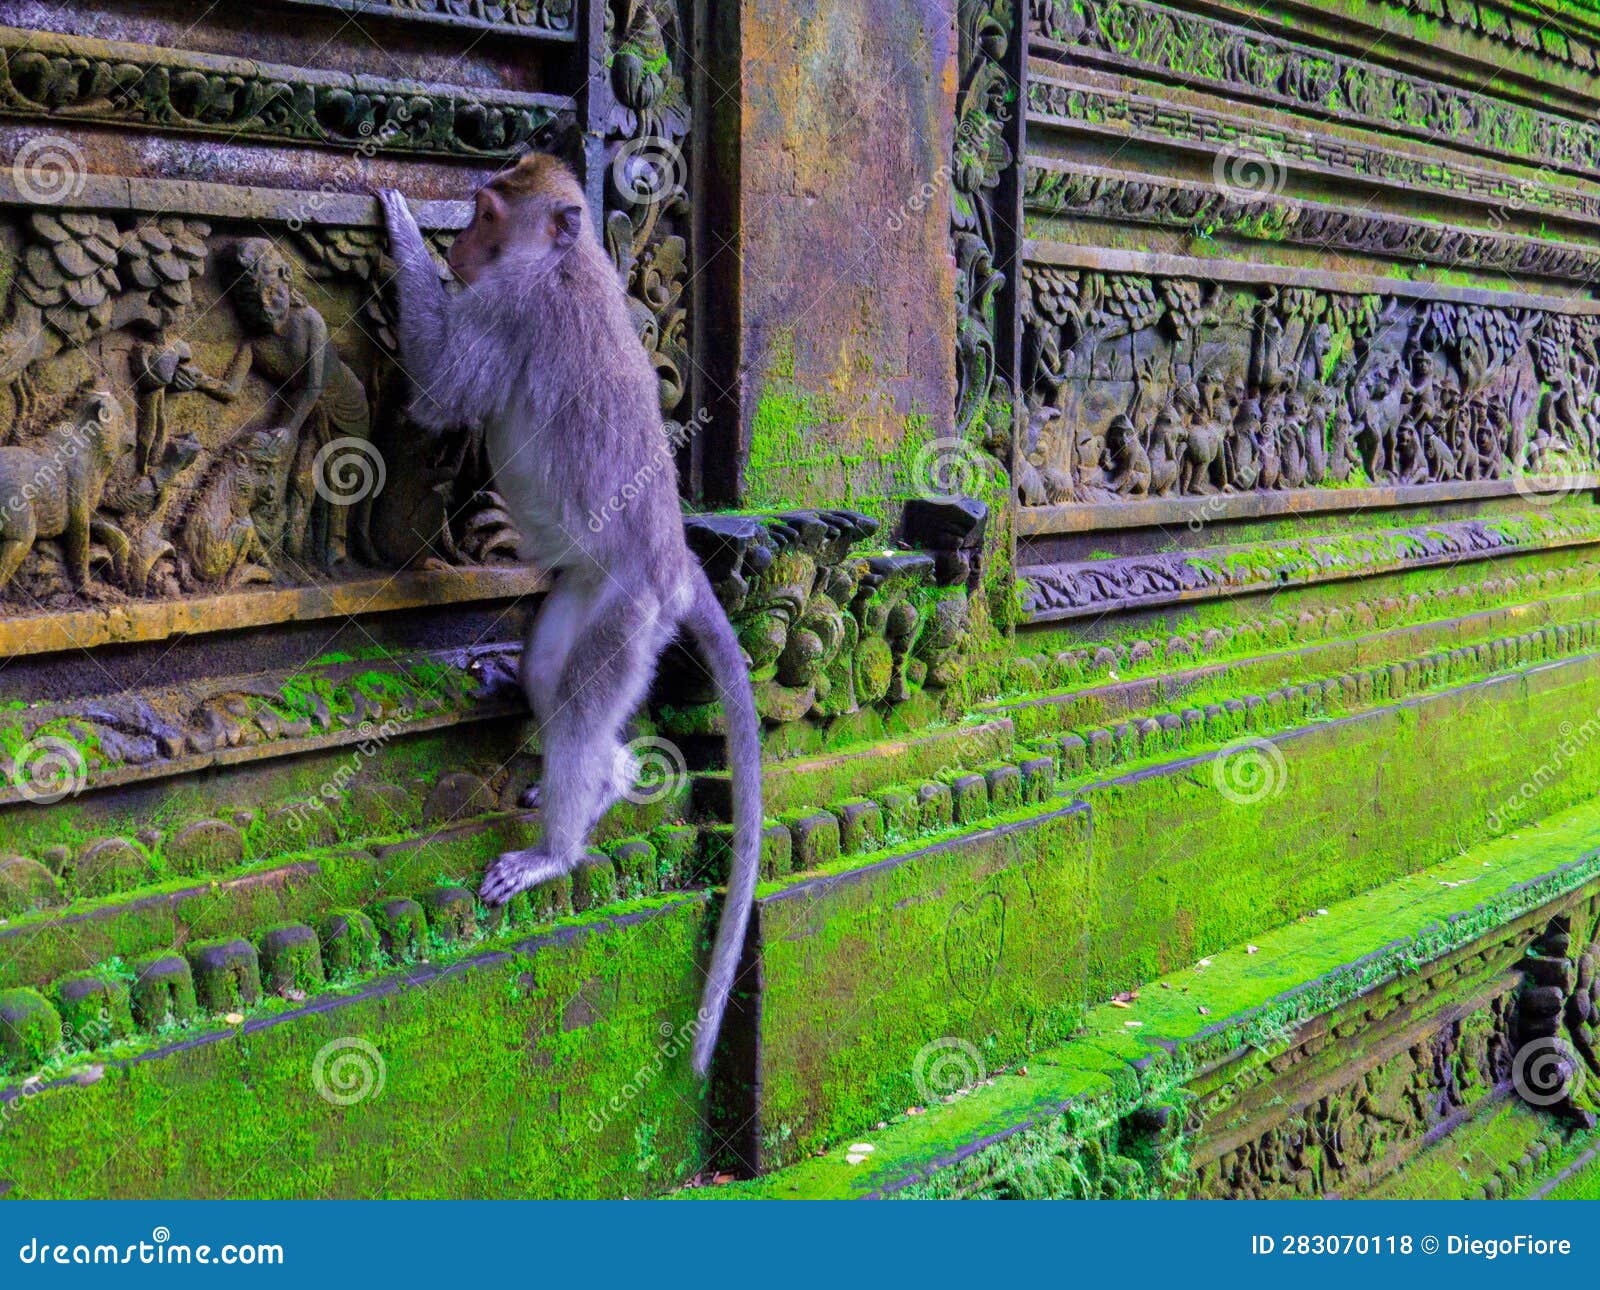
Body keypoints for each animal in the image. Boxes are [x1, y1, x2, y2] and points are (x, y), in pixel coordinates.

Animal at [378, 155, 761, 1077]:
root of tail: (674, 562)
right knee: (556, 677)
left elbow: (440, 390)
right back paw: (603, 782)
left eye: (486, 216)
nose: (458, 248)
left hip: (629, 615)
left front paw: (404, 236)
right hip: (591, 591)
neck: (563, 260)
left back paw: (556, 851)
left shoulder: (508, 307)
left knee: (584, 705)